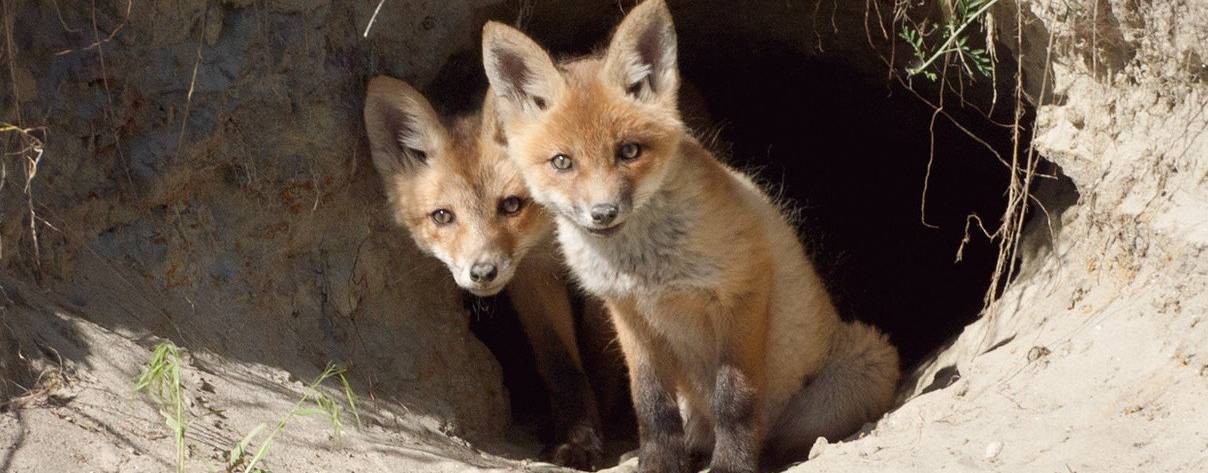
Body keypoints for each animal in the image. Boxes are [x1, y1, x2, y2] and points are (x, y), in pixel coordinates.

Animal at [363, 76, 609, 469]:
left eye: (511, 205)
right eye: (442, 216)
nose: (482, 271)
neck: (553, 241)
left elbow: (605, 355)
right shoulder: (532, 280)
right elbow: (562, 368)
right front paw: (579, 438)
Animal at [480, 1, 901, 471]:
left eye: (629, 151)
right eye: (562, 162)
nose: (603, 213)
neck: (649, 273)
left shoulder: (743, 289)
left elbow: (736, 401)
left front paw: (732, 466)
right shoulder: (629, 314)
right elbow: (650, 406)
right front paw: (658, 462)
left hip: (866, 358)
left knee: (778, 436)